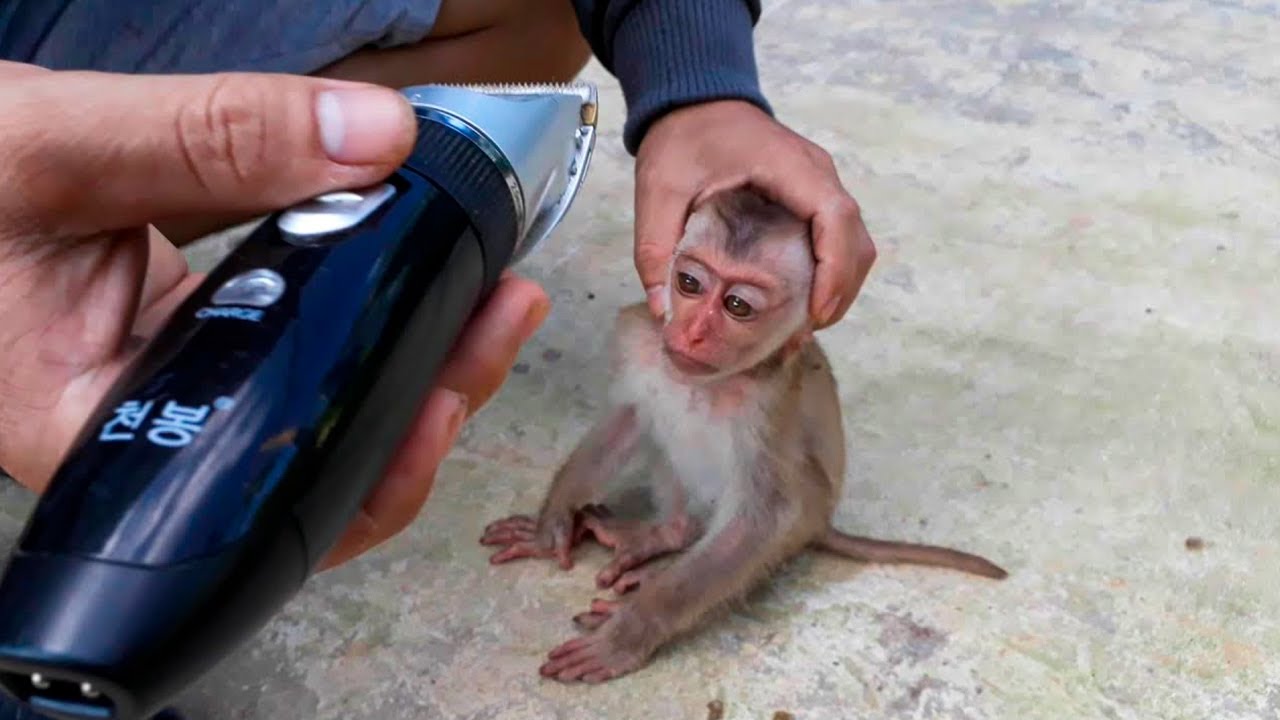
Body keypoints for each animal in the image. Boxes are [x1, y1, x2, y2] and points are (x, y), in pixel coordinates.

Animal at [479, 186, 1007, 684]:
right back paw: (663, 532)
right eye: (689, 283)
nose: (693, 332)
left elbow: (767, 516)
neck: (713, 381)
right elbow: (628, 417)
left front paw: (627, 633)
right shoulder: (644, 340)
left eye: (737, 305)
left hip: (803, 516)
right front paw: (549, 529)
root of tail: (825, 521)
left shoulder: (767, 406)